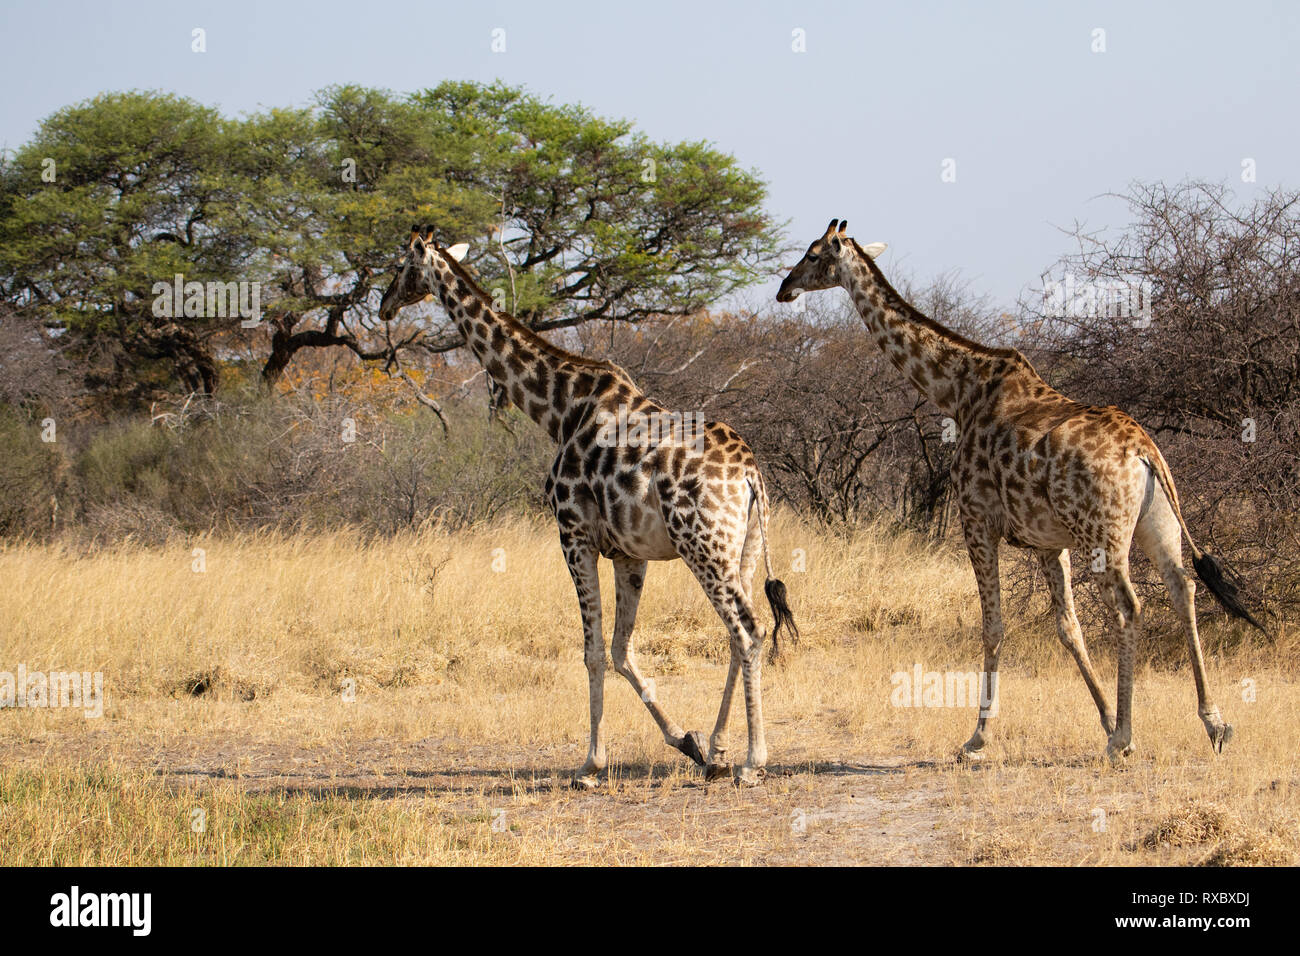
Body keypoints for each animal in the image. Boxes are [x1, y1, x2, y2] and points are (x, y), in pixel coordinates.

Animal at [379, 226, 797, 787]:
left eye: (403, 267)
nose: (384, 304)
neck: (559, 408)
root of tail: (751, 475)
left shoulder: (573, 535)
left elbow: (592, 651)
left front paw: (591, 763)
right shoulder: (629, 553)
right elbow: (621, 649)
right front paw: (686, 742)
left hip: (701, 544)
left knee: (747, 631)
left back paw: (752, 761)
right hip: (743, 548)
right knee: (738, 634)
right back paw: (718, 749)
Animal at [777, 219, 1266, 762]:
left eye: (812, 254)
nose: (784, 289)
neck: (958, 393)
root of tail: (1145, 453)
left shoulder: (976, 521)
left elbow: (993, 627)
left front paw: (977, 738)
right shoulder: (1049, 543)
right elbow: (1068, 628)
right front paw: (1102, 717)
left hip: (1103, 535)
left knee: (1128, 608)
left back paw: (1124, 738)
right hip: (1156, 523)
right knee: (1184, 589)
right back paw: (1213, 723)